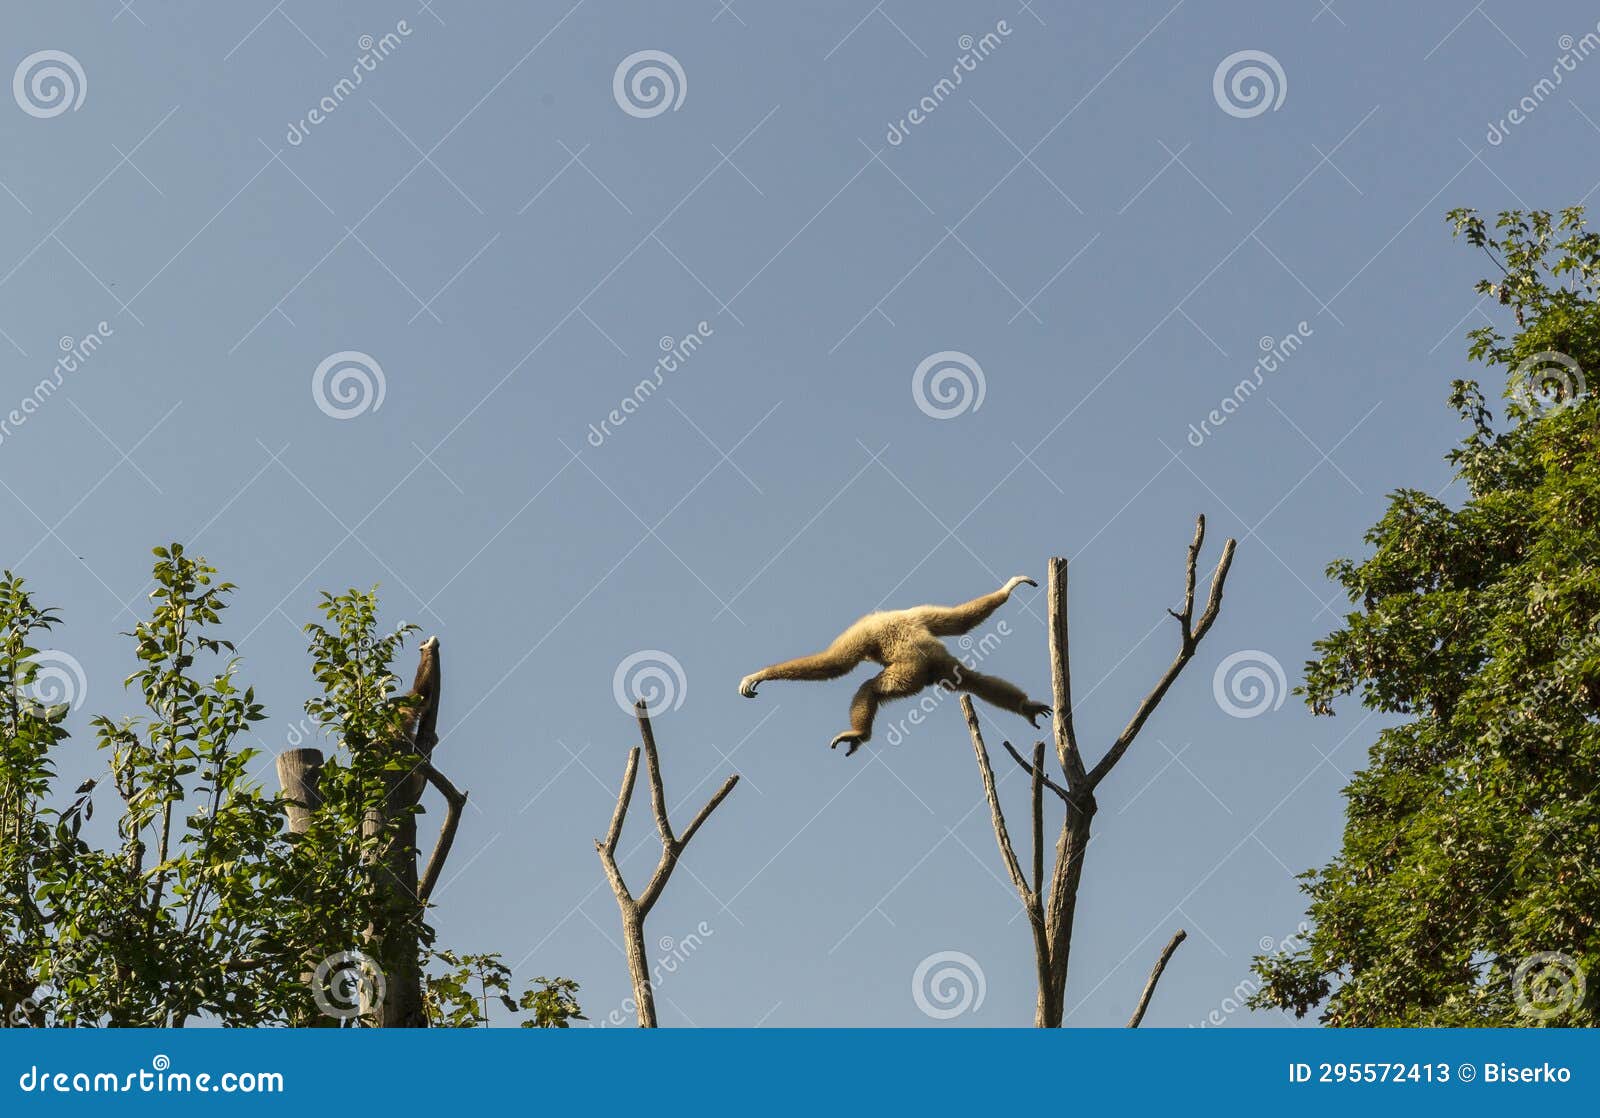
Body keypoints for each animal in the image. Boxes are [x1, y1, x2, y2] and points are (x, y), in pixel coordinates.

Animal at [738, 576, 1050, 755]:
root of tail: (929, 663)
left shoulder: (861, 635)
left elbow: (833, 664)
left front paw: (759, 675)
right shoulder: (918, 612)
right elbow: (959, 621)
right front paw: (1007, 589)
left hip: (906, 675)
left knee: (871, 688)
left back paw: (859, 733)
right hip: (941, 666)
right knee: (972, 679)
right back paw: (1025, 706)